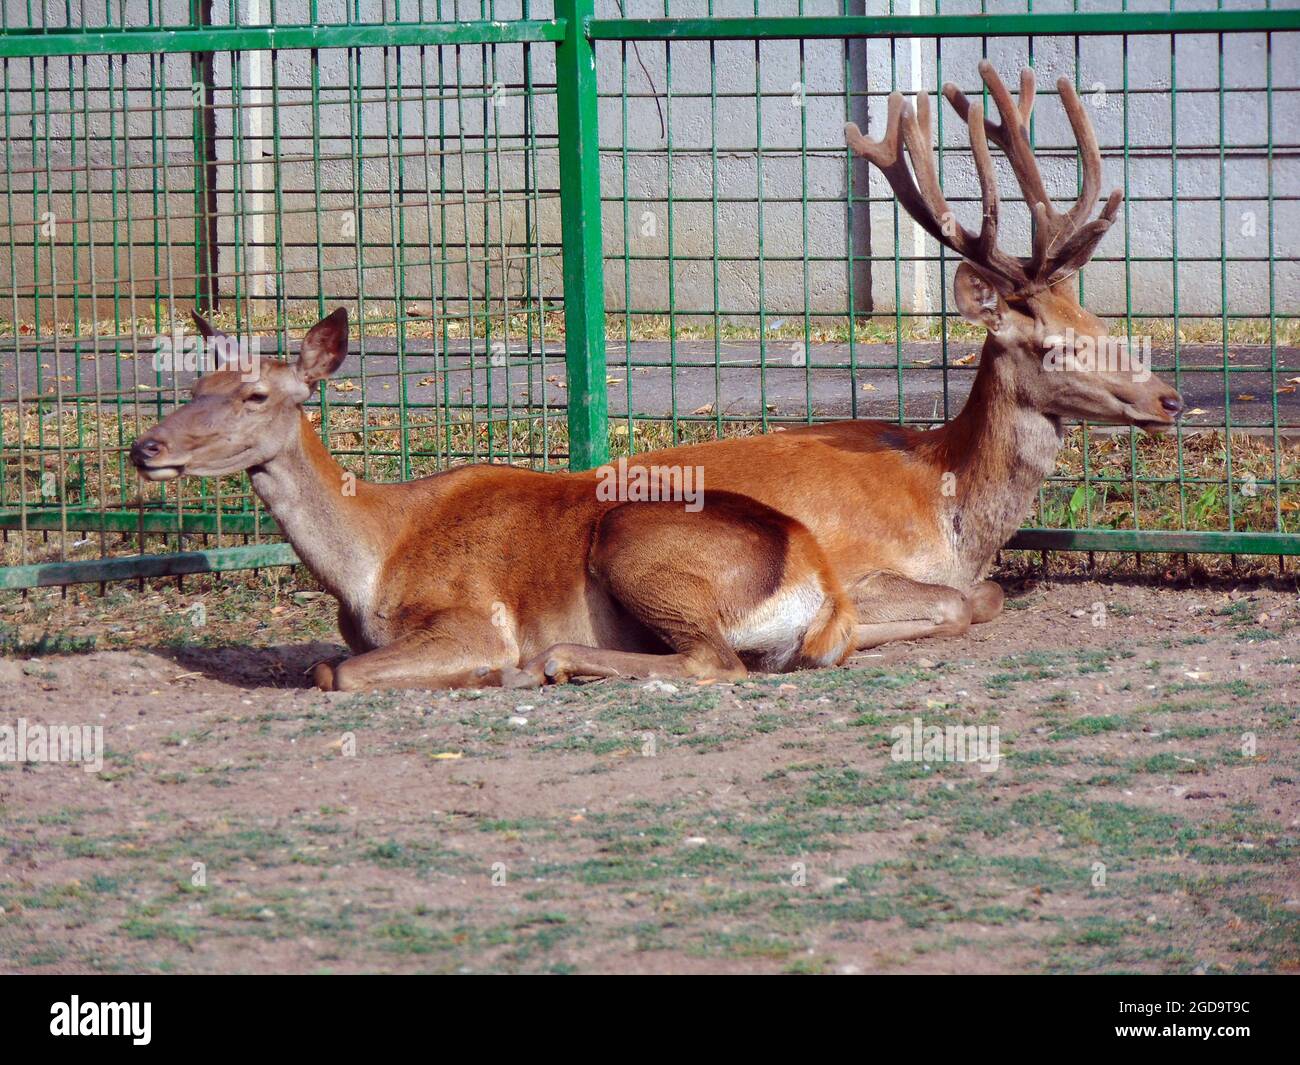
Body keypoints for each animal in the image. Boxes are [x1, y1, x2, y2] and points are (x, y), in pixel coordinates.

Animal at [129, 63, 1182, 692]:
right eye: (1053, 343)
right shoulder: (871, 565)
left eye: (1099, 321)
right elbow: (970, 603)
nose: (1170, 397)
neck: (947, 496)